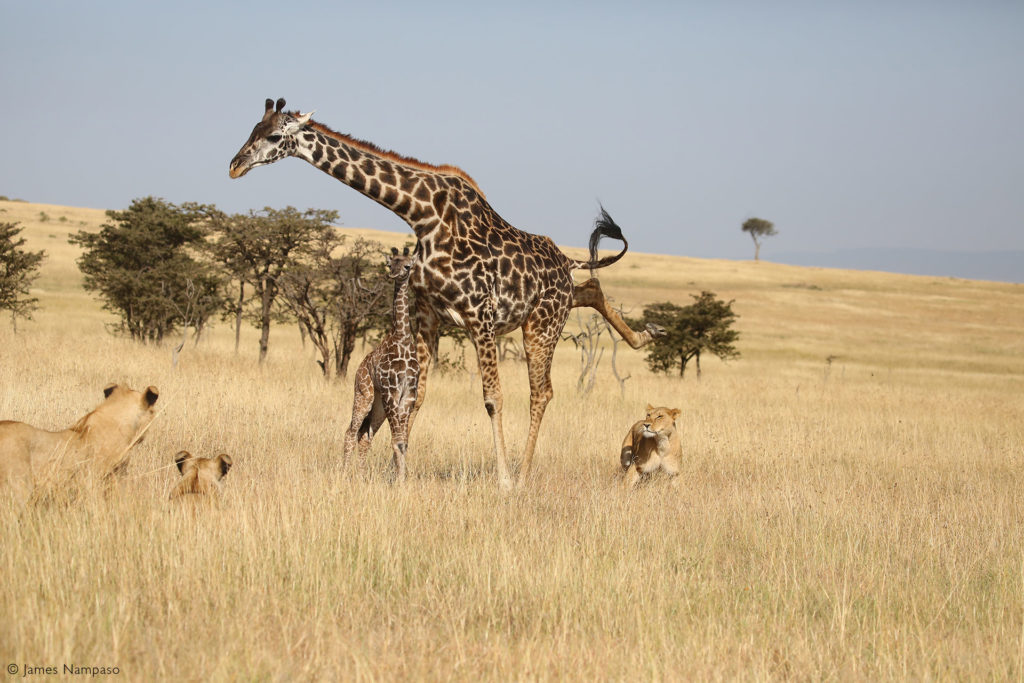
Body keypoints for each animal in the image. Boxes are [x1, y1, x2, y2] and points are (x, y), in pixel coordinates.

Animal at [342, 247, 419, 480]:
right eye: (390, 263)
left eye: (408, 266)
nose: (393, 274)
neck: (402, 338)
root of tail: (359, 368)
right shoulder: (391, 391)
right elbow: (397, 442)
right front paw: (400, 481)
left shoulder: (408, 394)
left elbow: (403, 443)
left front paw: (403, 480)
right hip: (365, 396)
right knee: (350, 432)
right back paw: (342, 475)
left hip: (378, 406)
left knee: (365, 437)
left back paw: (360, 477)